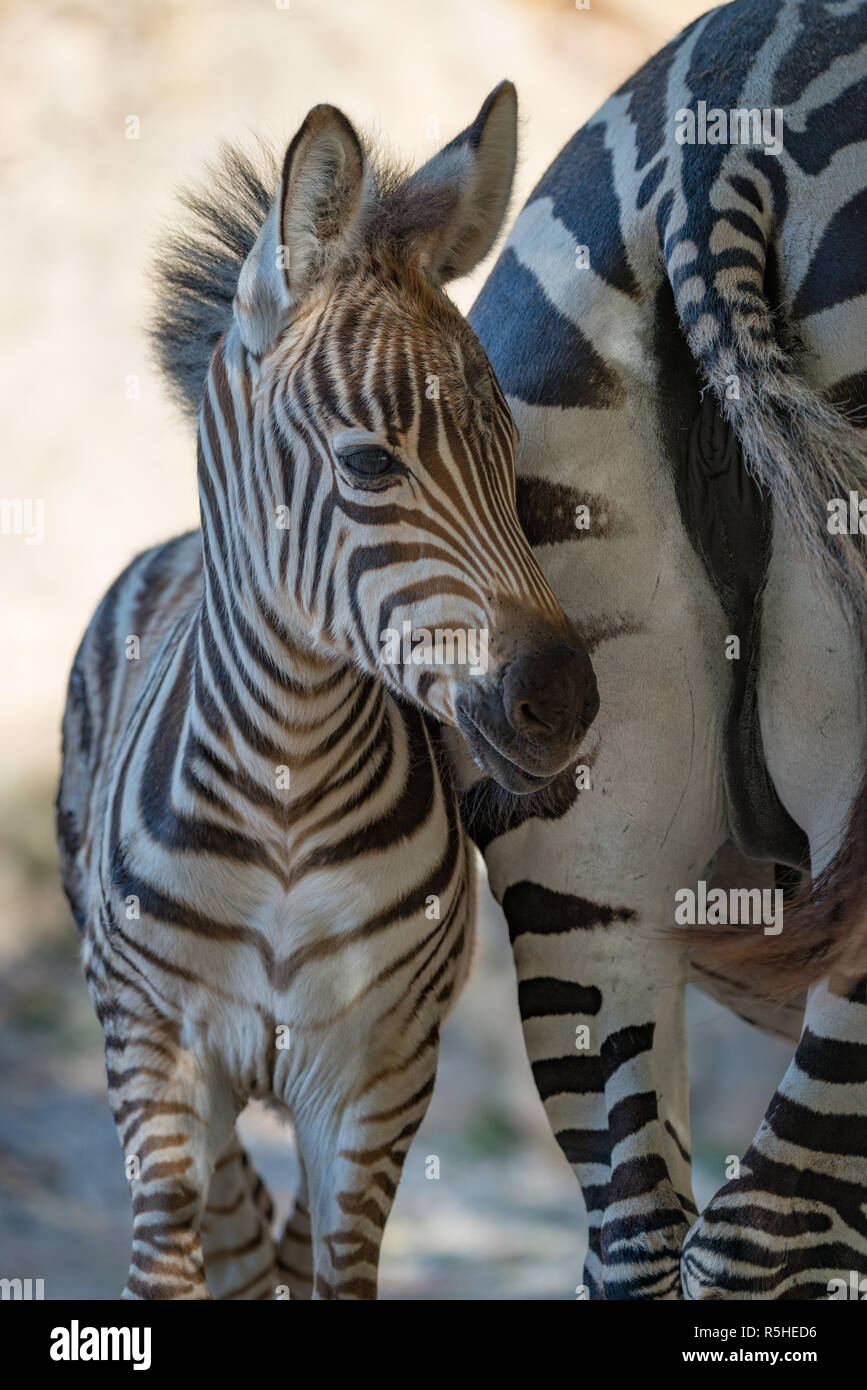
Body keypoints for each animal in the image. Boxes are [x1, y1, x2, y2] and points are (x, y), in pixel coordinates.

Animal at [55, 87, 599, 1300]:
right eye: (366, 466)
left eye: (510, 449)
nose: (563, 703)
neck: (287, 781)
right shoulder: (153, 1052)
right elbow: (171, 1258)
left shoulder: (376, 1073)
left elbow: (338, 1267)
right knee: (230, 1227)